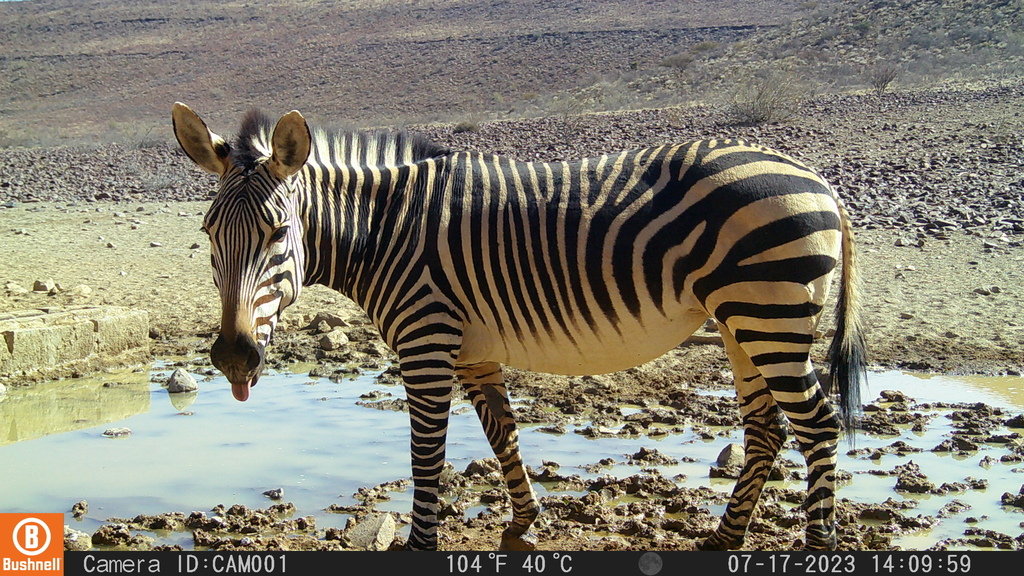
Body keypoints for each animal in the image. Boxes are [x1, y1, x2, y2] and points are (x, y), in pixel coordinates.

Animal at [172, 102, 866, 552]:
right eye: (208, 233)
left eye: (276, 233)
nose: (234, 358)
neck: (385, 231)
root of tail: (821, 182)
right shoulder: (472, 350)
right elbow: (500, 431)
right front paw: (523, 523)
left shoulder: (427, 342)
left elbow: (427, 456)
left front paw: (422, 545)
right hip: (740, 322)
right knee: (767, 428)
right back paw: (722, 538)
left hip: (770, 316)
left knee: (817, 425)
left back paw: (817, 546)